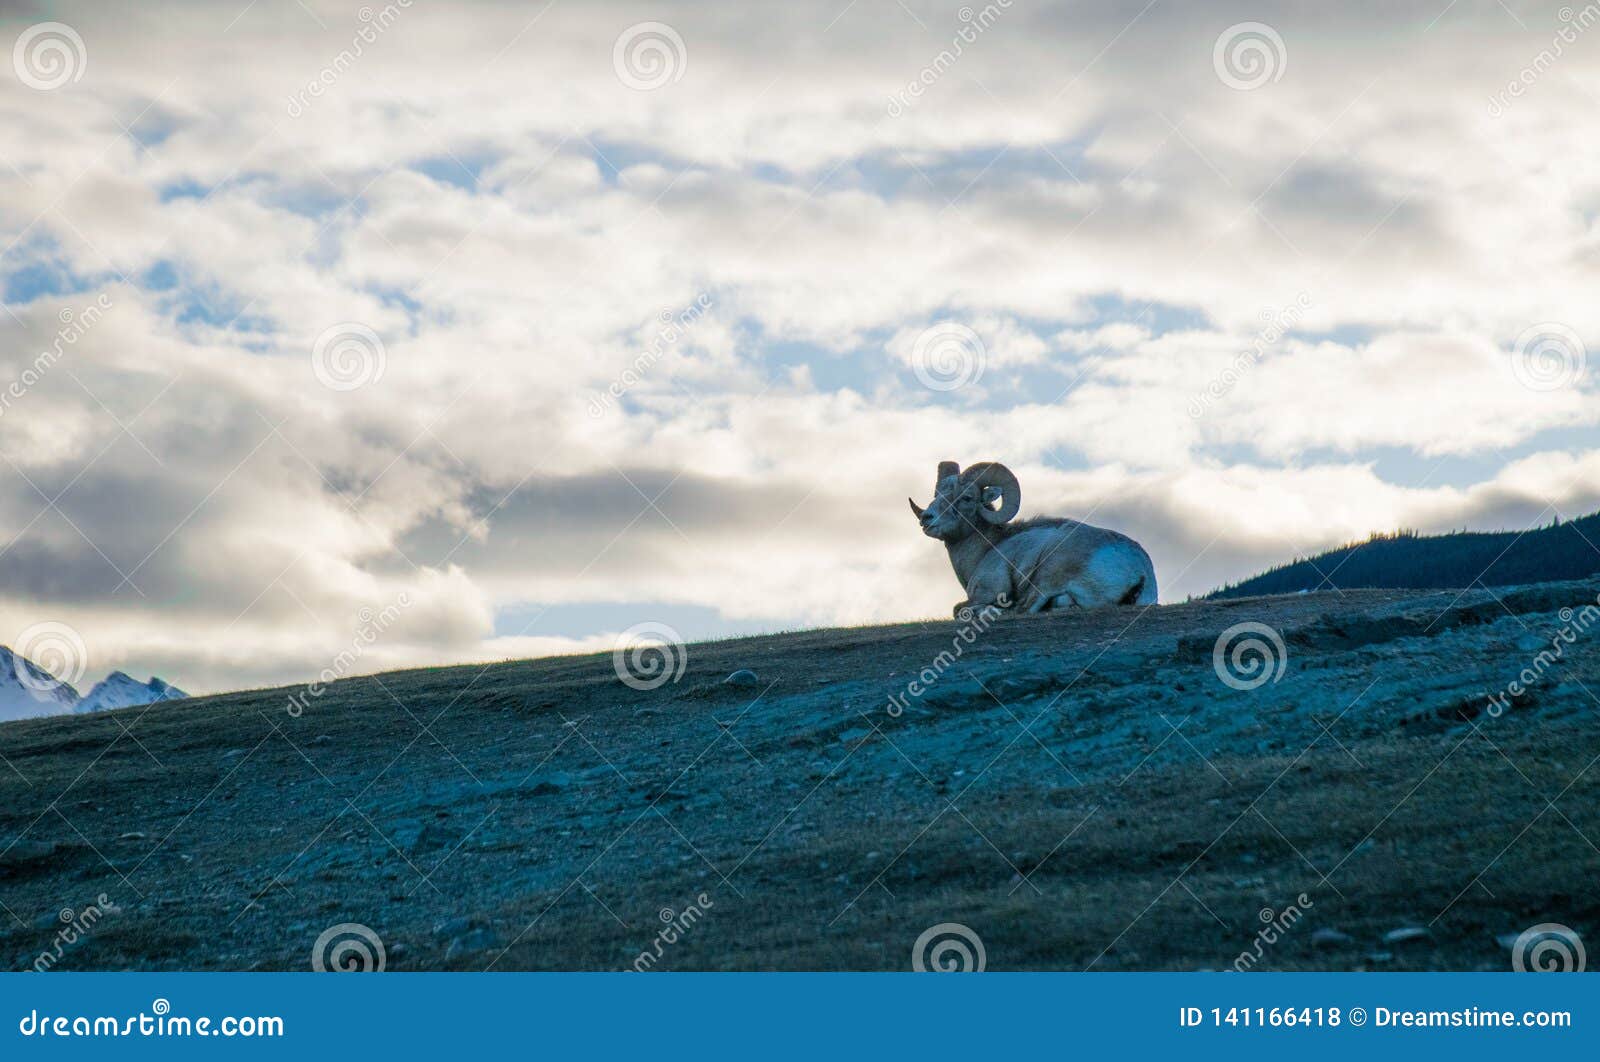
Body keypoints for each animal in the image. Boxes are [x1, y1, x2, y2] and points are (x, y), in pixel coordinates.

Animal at [908, 460, 1158, 618]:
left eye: (967, 498)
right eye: (936, 496)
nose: (927, 518)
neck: (987, 548)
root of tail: (1141, 571)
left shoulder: (988, 590)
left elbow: (959, 608)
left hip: (1047, 574)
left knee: (1024, 608)